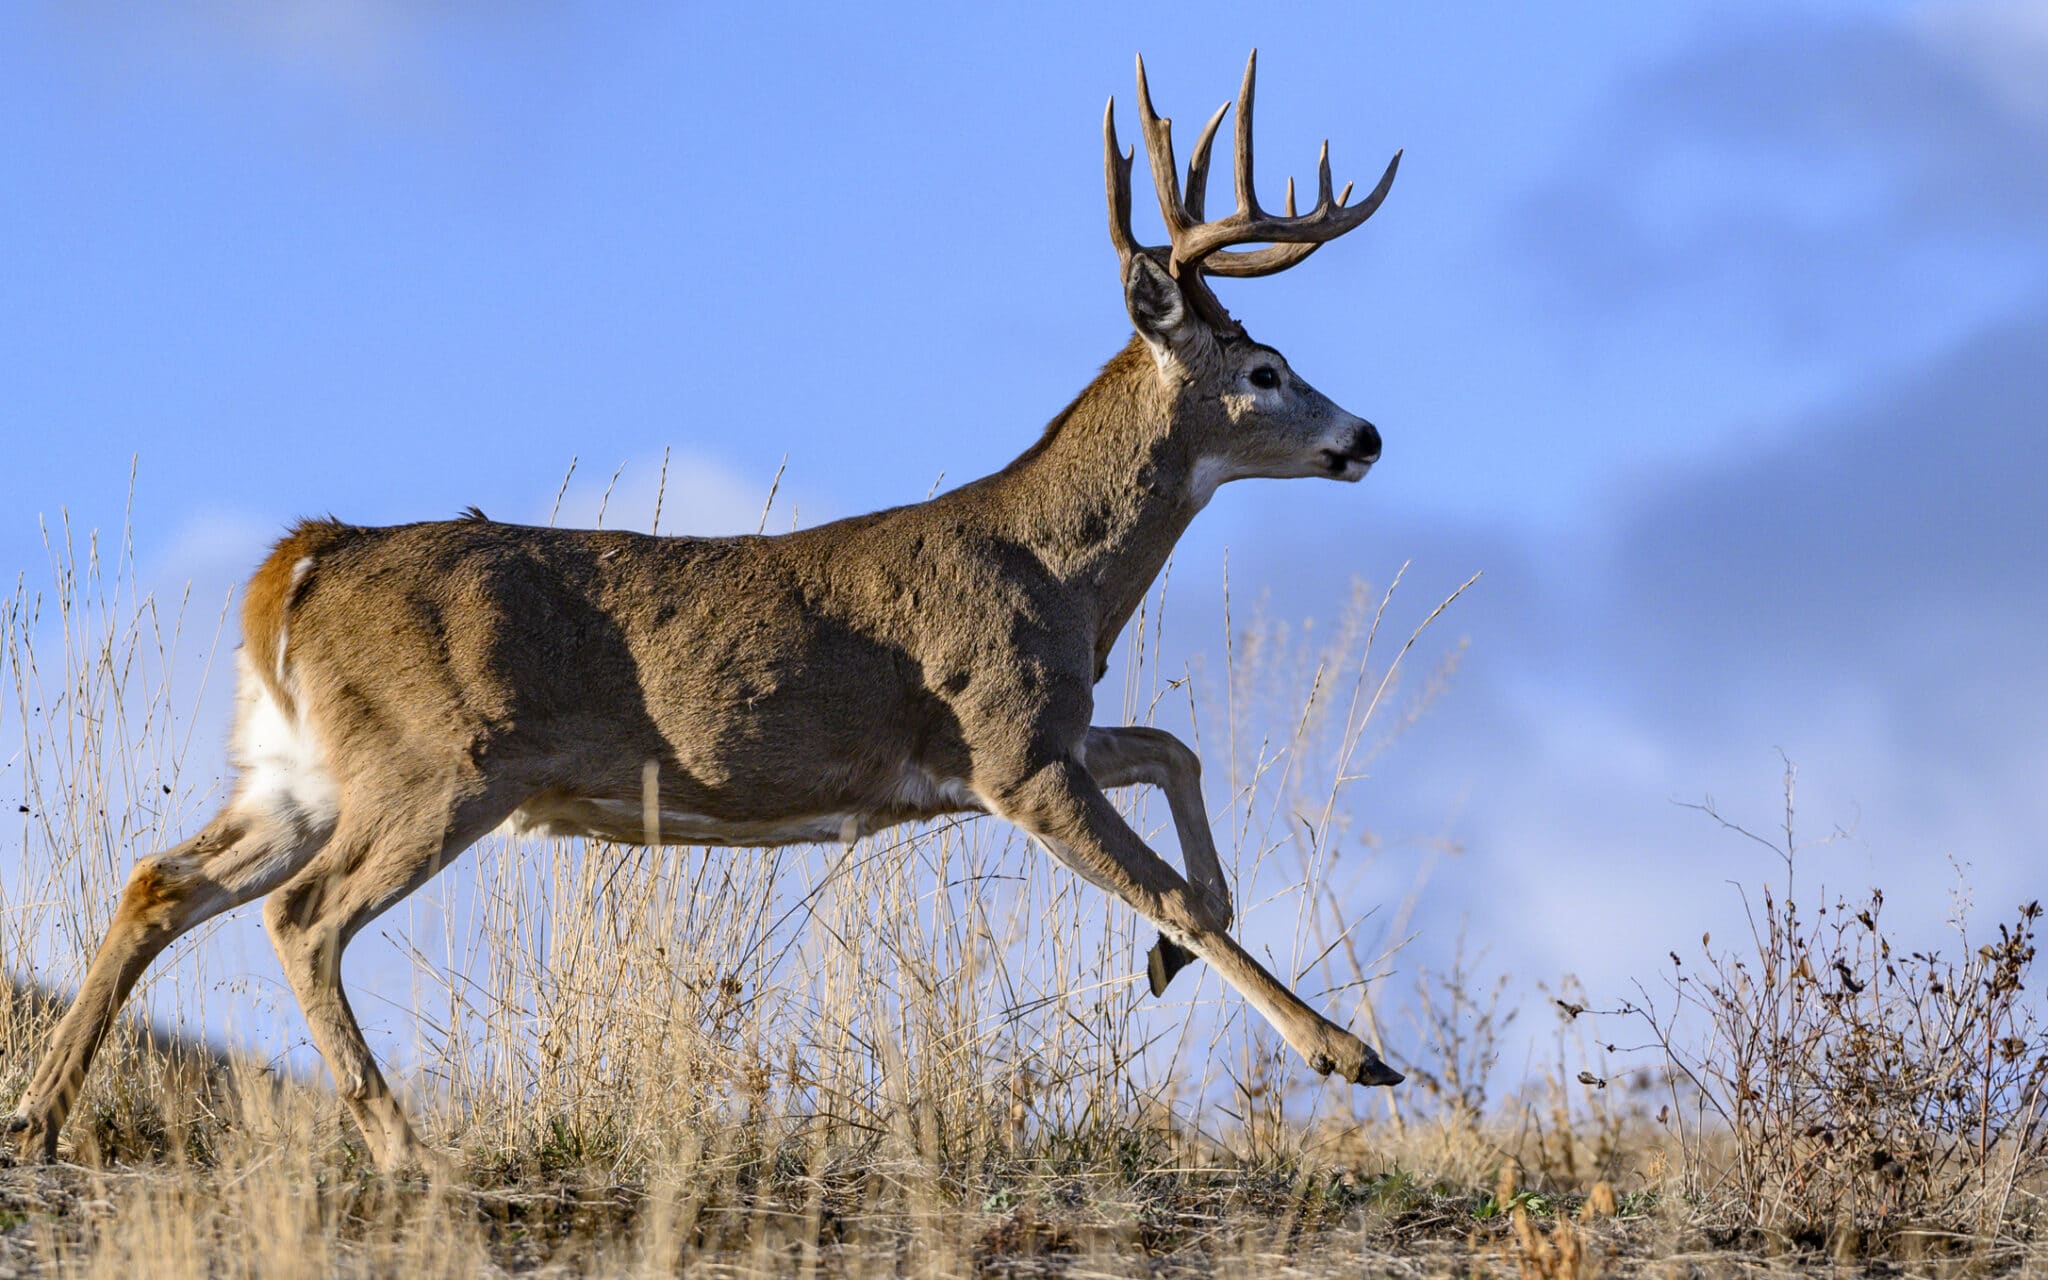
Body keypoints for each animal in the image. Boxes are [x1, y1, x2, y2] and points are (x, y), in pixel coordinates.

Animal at [8, 52, 1404, 1173]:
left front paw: (1183, 966)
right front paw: (1344, 1050)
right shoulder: (1007, 743)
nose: (1365, 436)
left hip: (298, 766)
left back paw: (40, 1112)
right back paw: (405, 1146)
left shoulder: (1029, 739)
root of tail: (304, 560)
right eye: (1262, 368)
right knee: (303, 917)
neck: (1055, 571)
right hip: (434, 760)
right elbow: (1165, 881)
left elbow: (1177, 752)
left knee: (163, 880)